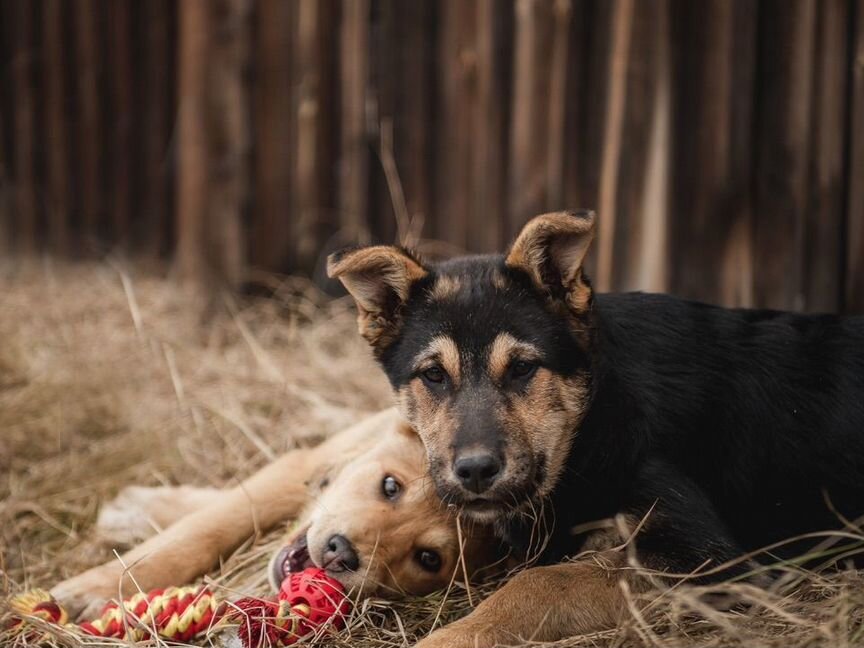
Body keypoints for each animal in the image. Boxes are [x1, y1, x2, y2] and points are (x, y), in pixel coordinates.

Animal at [50, 410, 492, 616]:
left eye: (428, 559)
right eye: (390, 486)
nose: (340, 554)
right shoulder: (299, 466)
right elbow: (206, 527)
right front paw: (96, 588)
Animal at [328, 210, 864, 644]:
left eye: (523, 368)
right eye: (434, 375)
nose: (476, 471)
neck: (595, 418)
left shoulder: (710, 559)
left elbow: (544, 581)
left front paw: (452, 637)